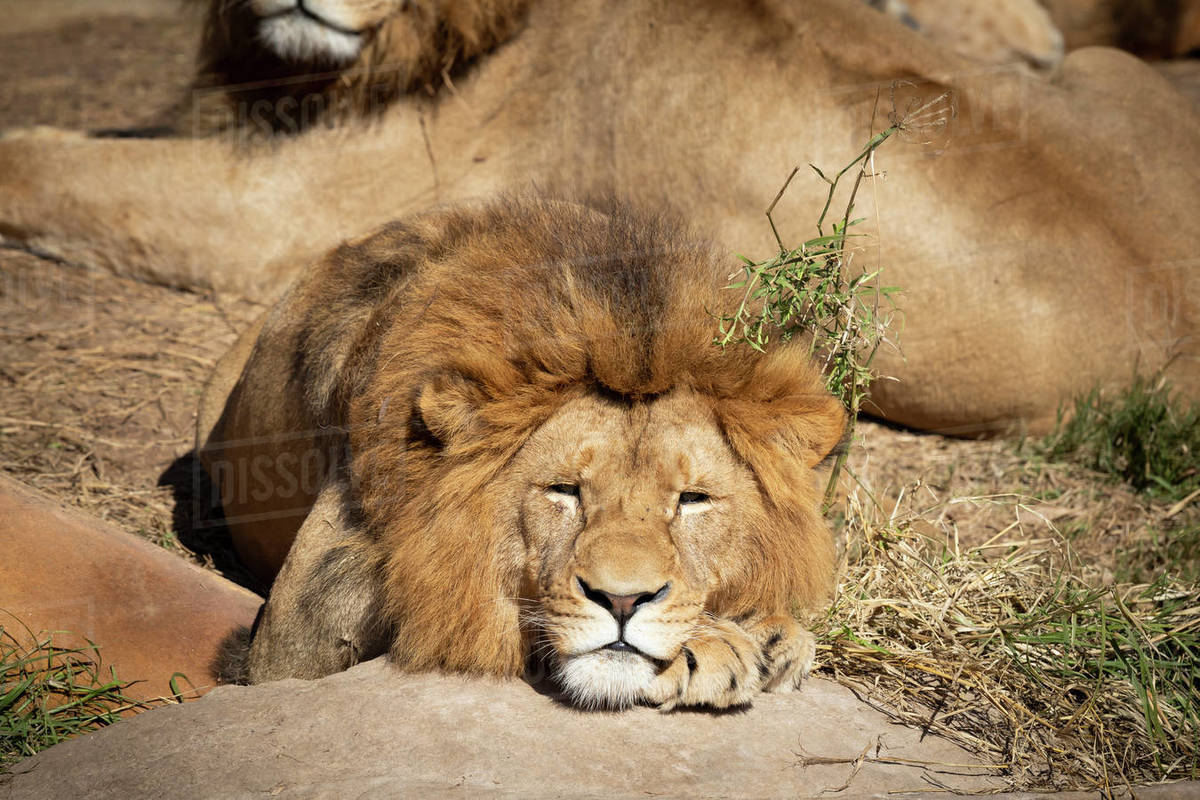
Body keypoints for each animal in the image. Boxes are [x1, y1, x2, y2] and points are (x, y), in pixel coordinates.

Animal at [197, 196, 846, 709]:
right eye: (564, 491)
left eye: (692, 500)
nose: (622, 600)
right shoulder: (289, 642)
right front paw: (714, 646)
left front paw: (774, 631)